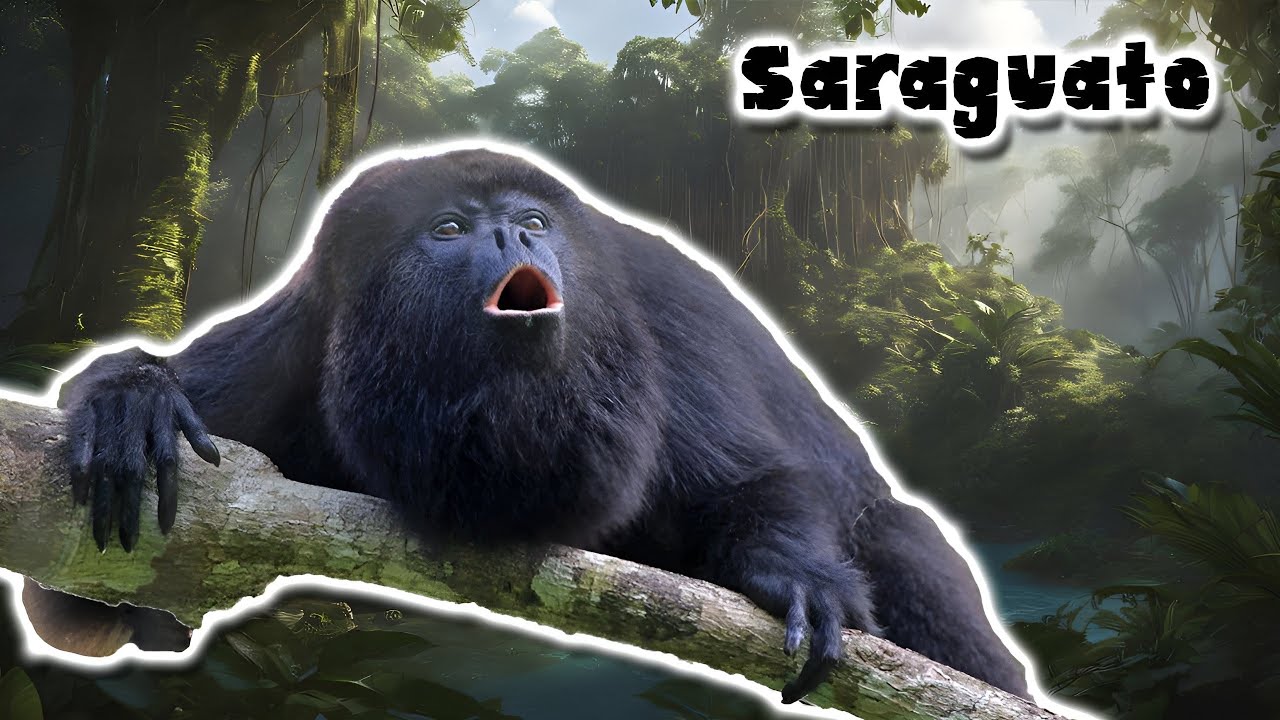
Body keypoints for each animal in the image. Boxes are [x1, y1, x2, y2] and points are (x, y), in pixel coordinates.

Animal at [52, 145, 1029, 703]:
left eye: (532, 220)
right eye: (450, 228)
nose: (513, 239)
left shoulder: (654, 306)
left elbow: (751, 479)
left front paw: (795, 576)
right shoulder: (309, 328)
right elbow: (80, 598)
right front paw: (131, 401)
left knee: (910, 559)